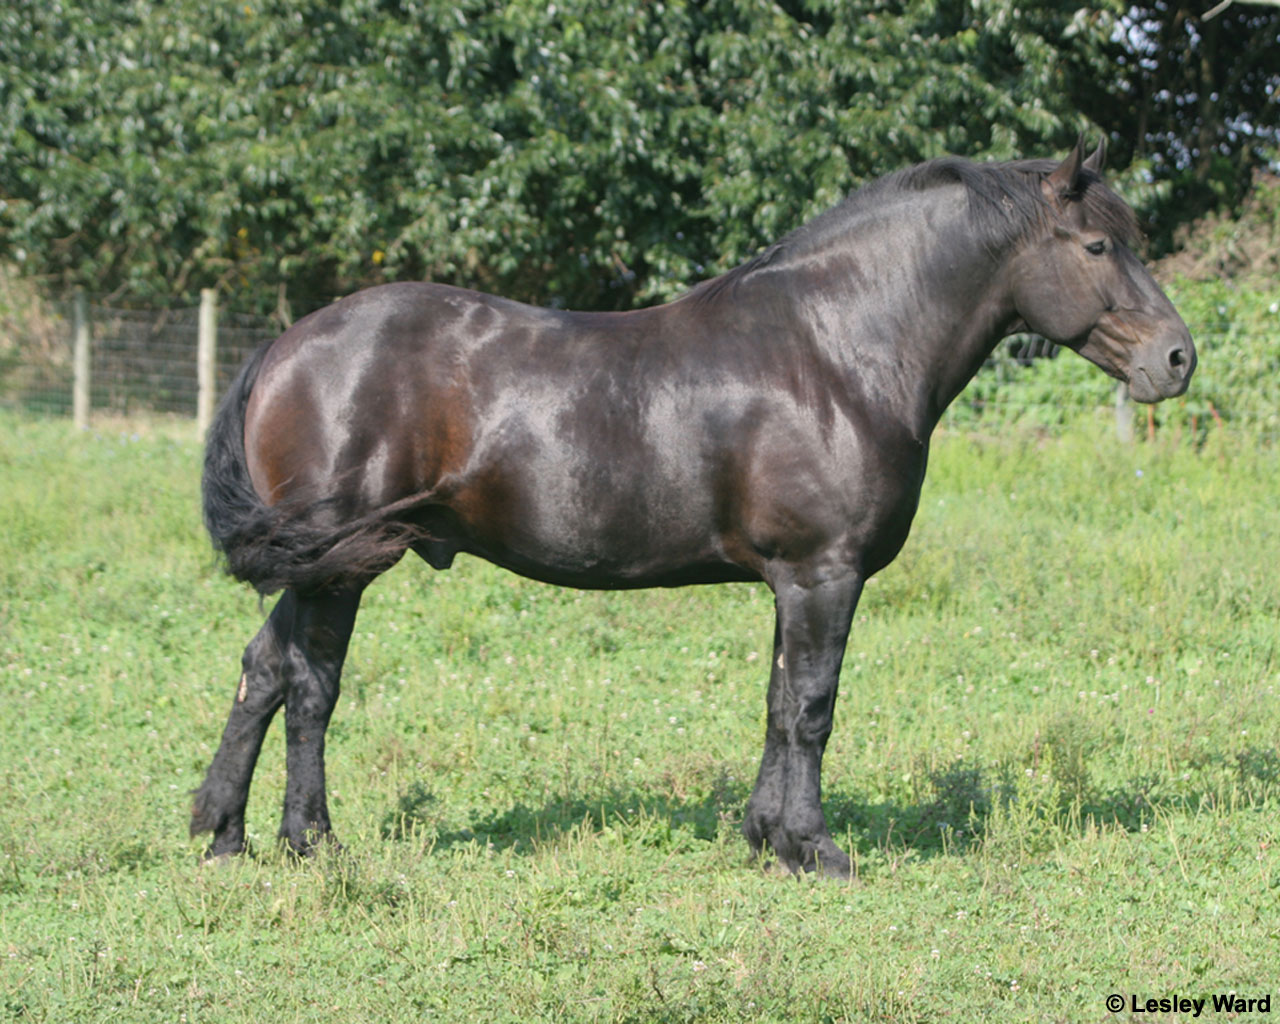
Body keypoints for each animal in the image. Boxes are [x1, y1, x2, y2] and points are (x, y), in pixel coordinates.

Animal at [191, 139, 1194, 876]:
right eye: (1099, 246)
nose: (1179, 359)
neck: (838, 348)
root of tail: (286, 345)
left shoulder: (793, 582)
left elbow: (778, 701)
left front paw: (766, 840)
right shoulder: (824, 574)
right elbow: (813, 707)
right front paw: (816, 849)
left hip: (324, 568)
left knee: (269, 672)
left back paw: (231, 836)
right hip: (337, 568)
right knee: (305, 683)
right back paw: (305, 841)